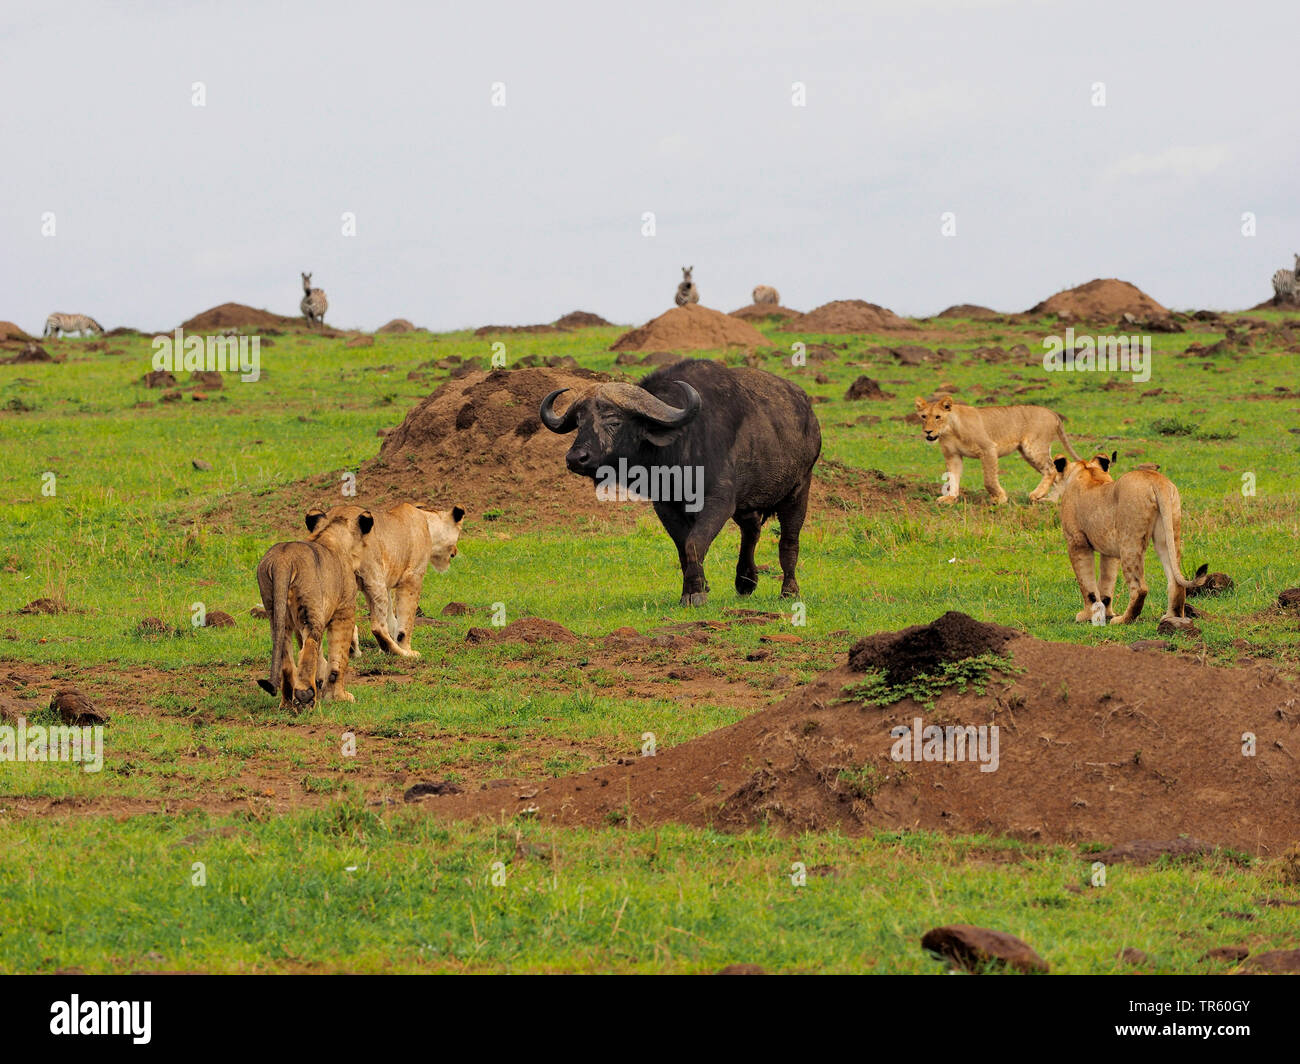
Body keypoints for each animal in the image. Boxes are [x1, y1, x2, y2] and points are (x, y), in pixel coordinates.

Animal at [255, 507, 374, 708]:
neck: (330, 533)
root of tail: (283, 560)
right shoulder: (344, 611)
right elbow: (338, 658)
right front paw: (339, 696)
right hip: (310, 608)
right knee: (310, 645)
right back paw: (305, 698)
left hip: (277, 610)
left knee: (286, 652)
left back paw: (287, 702)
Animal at [309, 503, 465, 658]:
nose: (455, 551)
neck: (427, 521)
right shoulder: (412, 577)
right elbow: (405, 622)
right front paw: (407, 649)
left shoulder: (387, 583)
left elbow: (391, 619)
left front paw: (382, 650)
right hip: (374, 578)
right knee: (377, 627)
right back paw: (401, 653)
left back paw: (350, 652)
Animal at [539, 358, 822, 606]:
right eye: (579, 423)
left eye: (614, 421)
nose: (576, 458)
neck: (681, 444)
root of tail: (809, 413)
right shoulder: (666, 505)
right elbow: (683, 548)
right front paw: (695, 588)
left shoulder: (718, 501)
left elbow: (694, 543)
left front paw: (695, 594)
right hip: (746, 503)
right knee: (751, 530)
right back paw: (745, 582)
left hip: (799, 490)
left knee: (789, 542)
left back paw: (789, 591)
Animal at [914, 396, 1080, 504]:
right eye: (923, 416)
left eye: (937, 417)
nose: (927, 432)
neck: (949, 431)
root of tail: (1052, 412)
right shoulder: (952, 455)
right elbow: (953, 477)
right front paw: (951, 497)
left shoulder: (988, 448)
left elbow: (989, 479)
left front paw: (1000, 498)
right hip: (1028, 452)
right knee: (1055, 475)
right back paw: (1049, 500)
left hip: (1034, 447)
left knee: (1051, 469)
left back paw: (1036, 495)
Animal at [1050, 451, 1207, 625]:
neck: (1086, 472)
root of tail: (1156, 479)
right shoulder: (1109, 552)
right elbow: (1106, 585)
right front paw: (1106, 614)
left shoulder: (1077, 543)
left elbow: (1087, 585)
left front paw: (1087, 616)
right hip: (1168, 532)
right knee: (1176, 580)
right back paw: (1171, 617)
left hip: (1129, 540)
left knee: (1140, 588)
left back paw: (1122, 620)